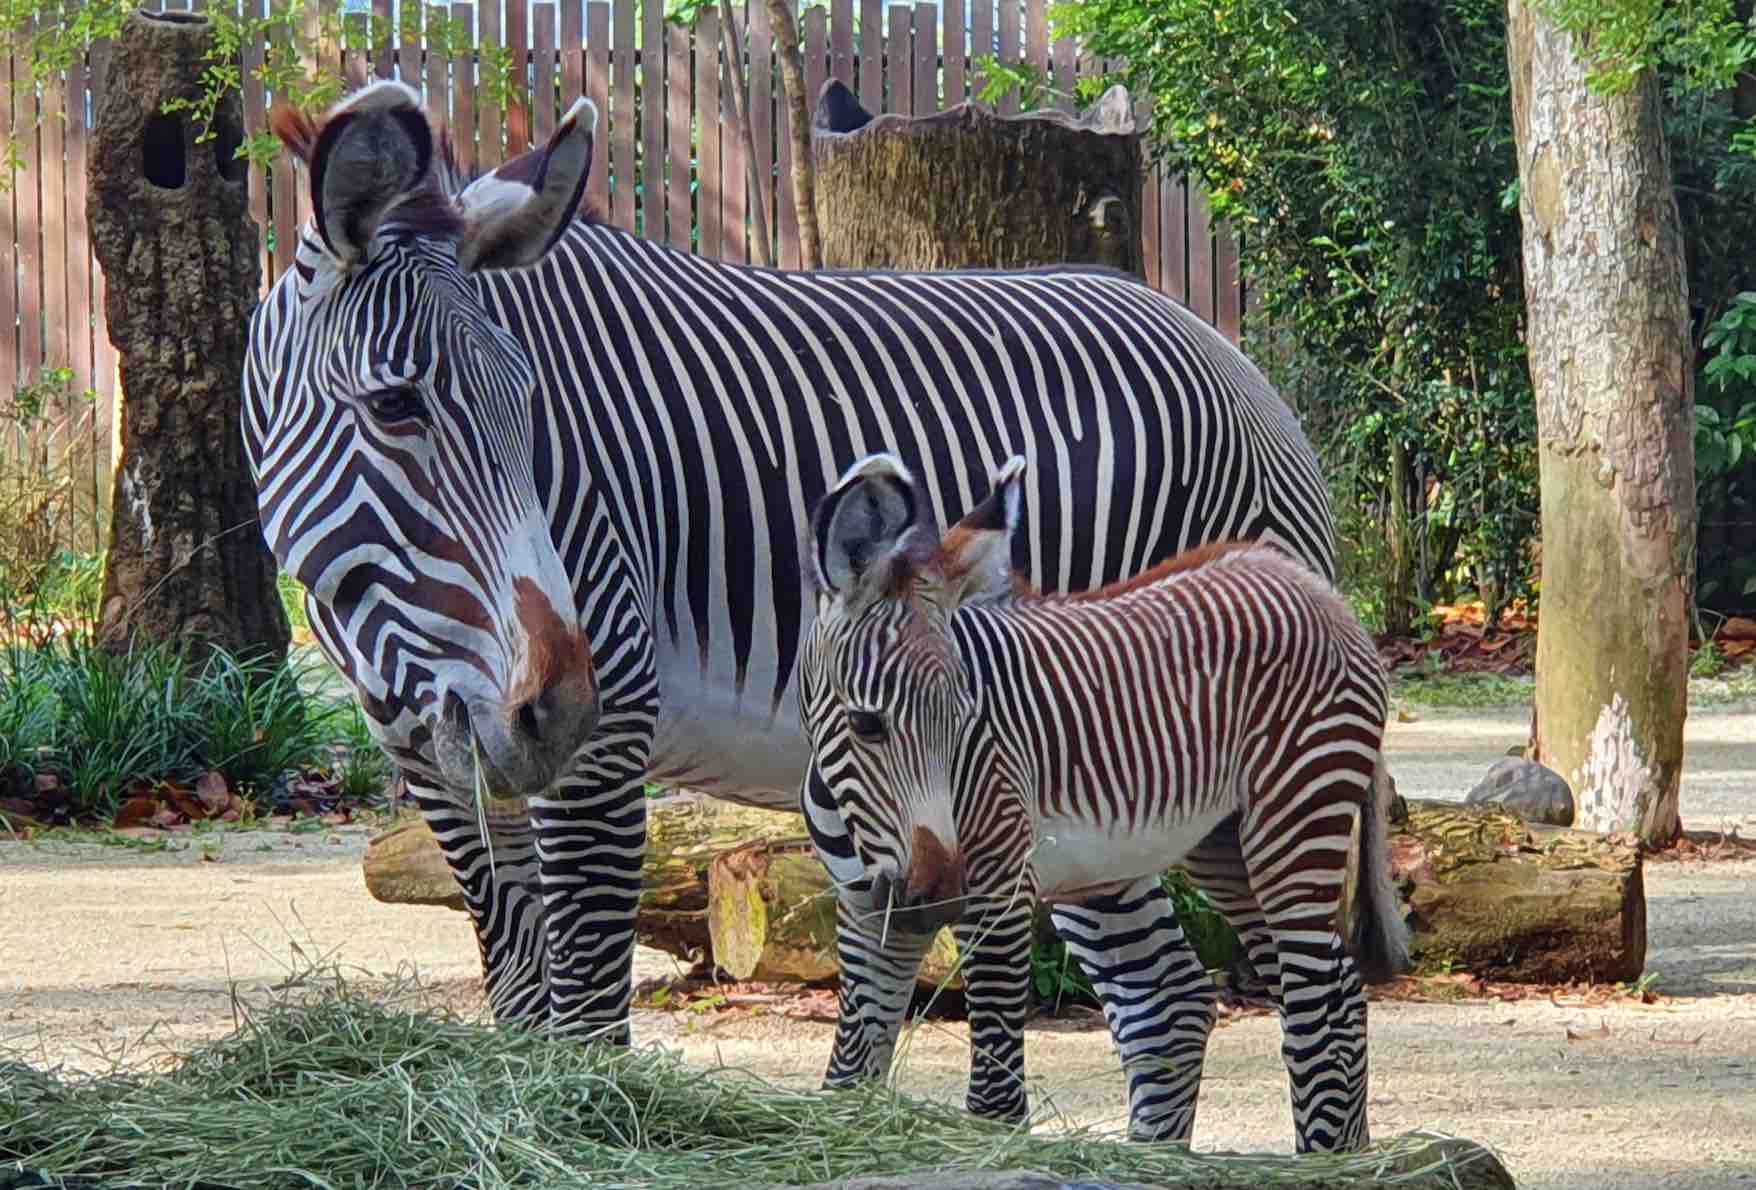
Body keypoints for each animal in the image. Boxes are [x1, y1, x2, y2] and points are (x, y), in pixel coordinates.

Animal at [243, 81, 1341, 1110]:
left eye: (534, 409)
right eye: (394, 404)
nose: (553, 709)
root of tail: (1228, 352)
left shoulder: (603, 744)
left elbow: (586, 1014)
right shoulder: (433, 763)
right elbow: (518, 999)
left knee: (1306, 982)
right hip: (1106, 782)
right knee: (1169, 998)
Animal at [797, 452, 1409, 1152]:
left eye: (964, 721)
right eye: (866, 725)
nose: (940, 896)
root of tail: (1314, 586)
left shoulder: (1001, 888)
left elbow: (995, 1098)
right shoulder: (868, 910)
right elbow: (847, 1077)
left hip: (1297, 815)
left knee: (1313, 1003)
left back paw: (1322, 1160)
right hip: (1226, 846)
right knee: (1337, 989)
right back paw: (1345, 1155)